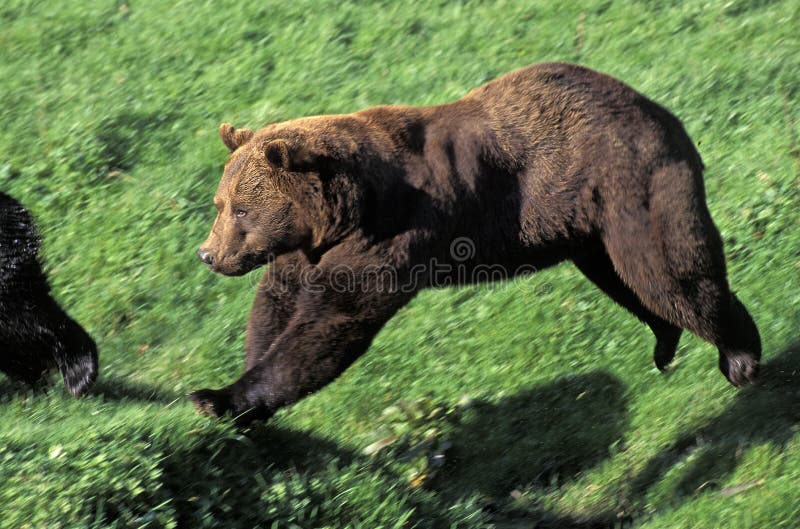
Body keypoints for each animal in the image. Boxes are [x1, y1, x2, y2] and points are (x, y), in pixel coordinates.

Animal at [191, 62, 761, 424]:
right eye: (220, 204)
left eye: (239, 209)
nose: (209, 255)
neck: (344, 212)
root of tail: (655, 107)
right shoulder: (304, 250)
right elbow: (277, 305)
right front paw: (234, 389)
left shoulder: (394, 233)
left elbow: (330, 321)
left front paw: (216, 398)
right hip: (588, 229)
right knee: (623, 280)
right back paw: (665, 340)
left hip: (626, 182)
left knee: (665, 270)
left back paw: (737, 354)